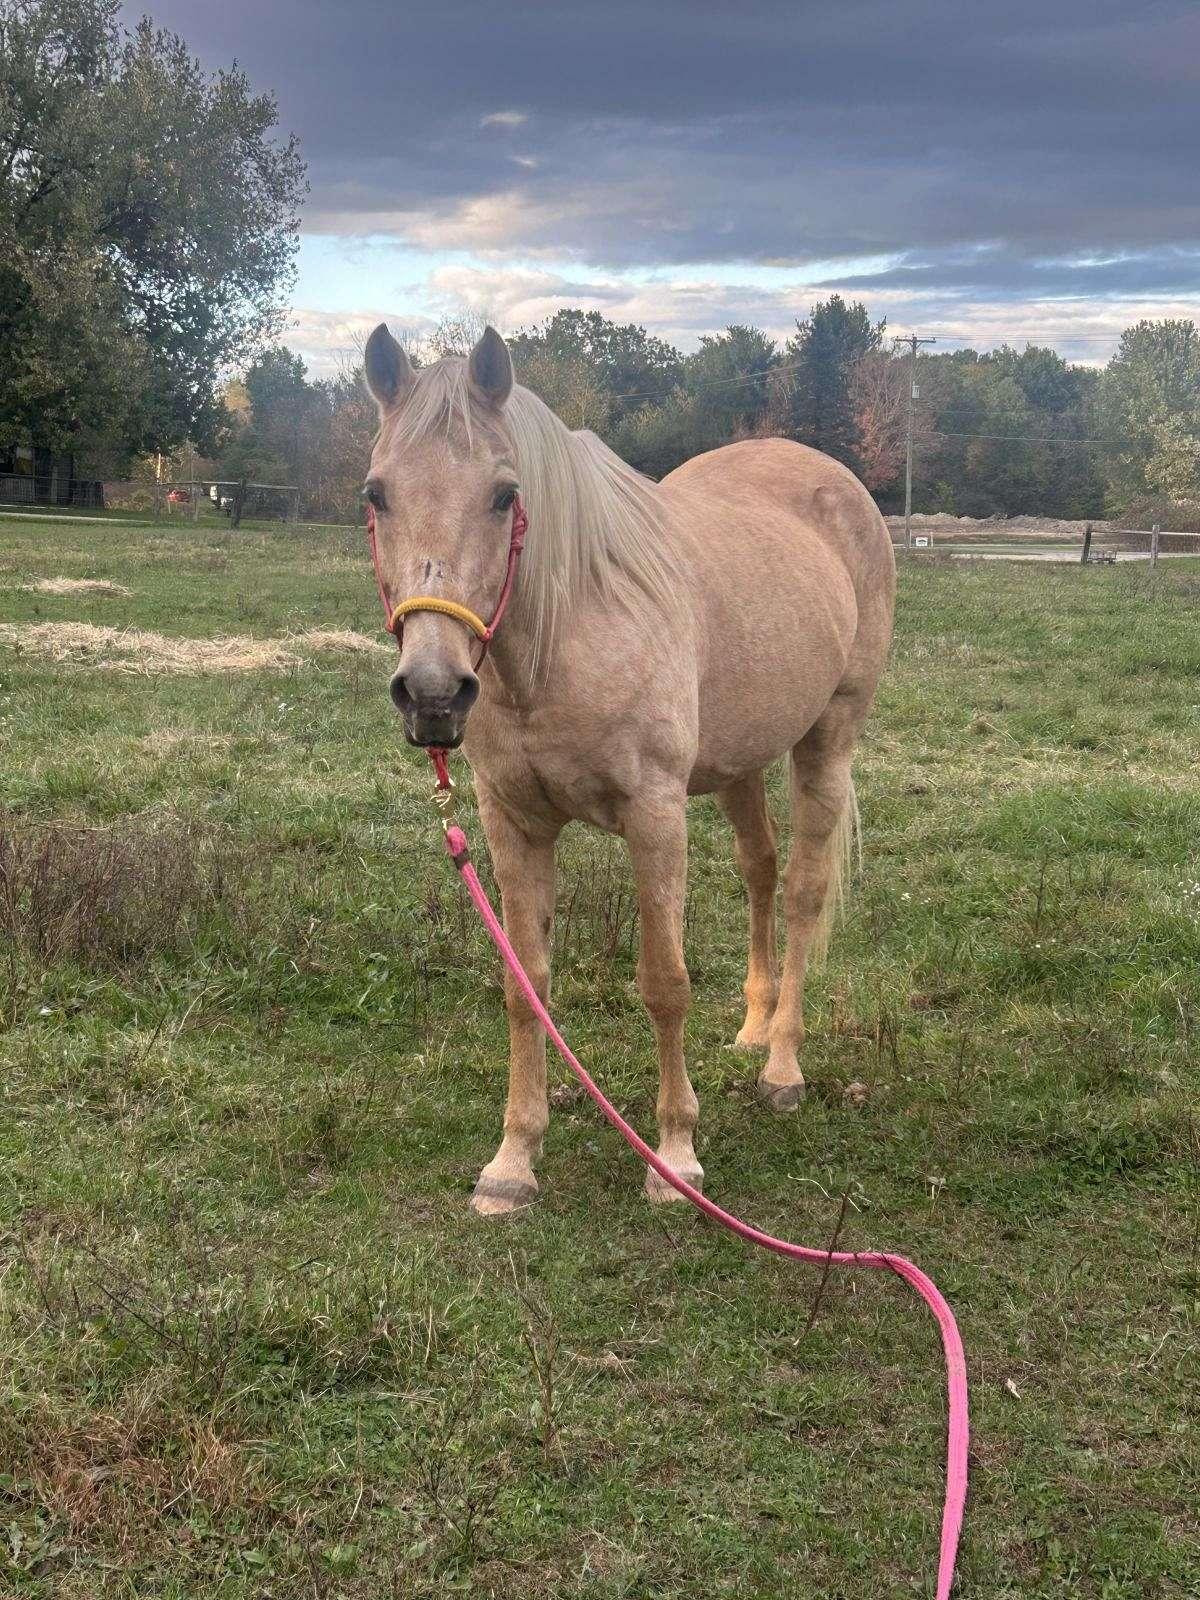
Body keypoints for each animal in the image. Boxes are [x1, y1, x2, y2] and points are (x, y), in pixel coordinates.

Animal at [362, 324, 895, 1215]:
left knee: (804, 890)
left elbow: (664, 983)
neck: (568, 627)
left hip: (827, 738)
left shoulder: (654, 814)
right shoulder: (514, 822)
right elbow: (525, 987)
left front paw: (675, 1157)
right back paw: (752, 1028)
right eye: (377, 495)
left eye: (504, 495)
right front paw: (512, 1162)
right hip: (739, 762)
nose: (432, 693)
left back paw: (781, 1066)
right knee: (760, 869)